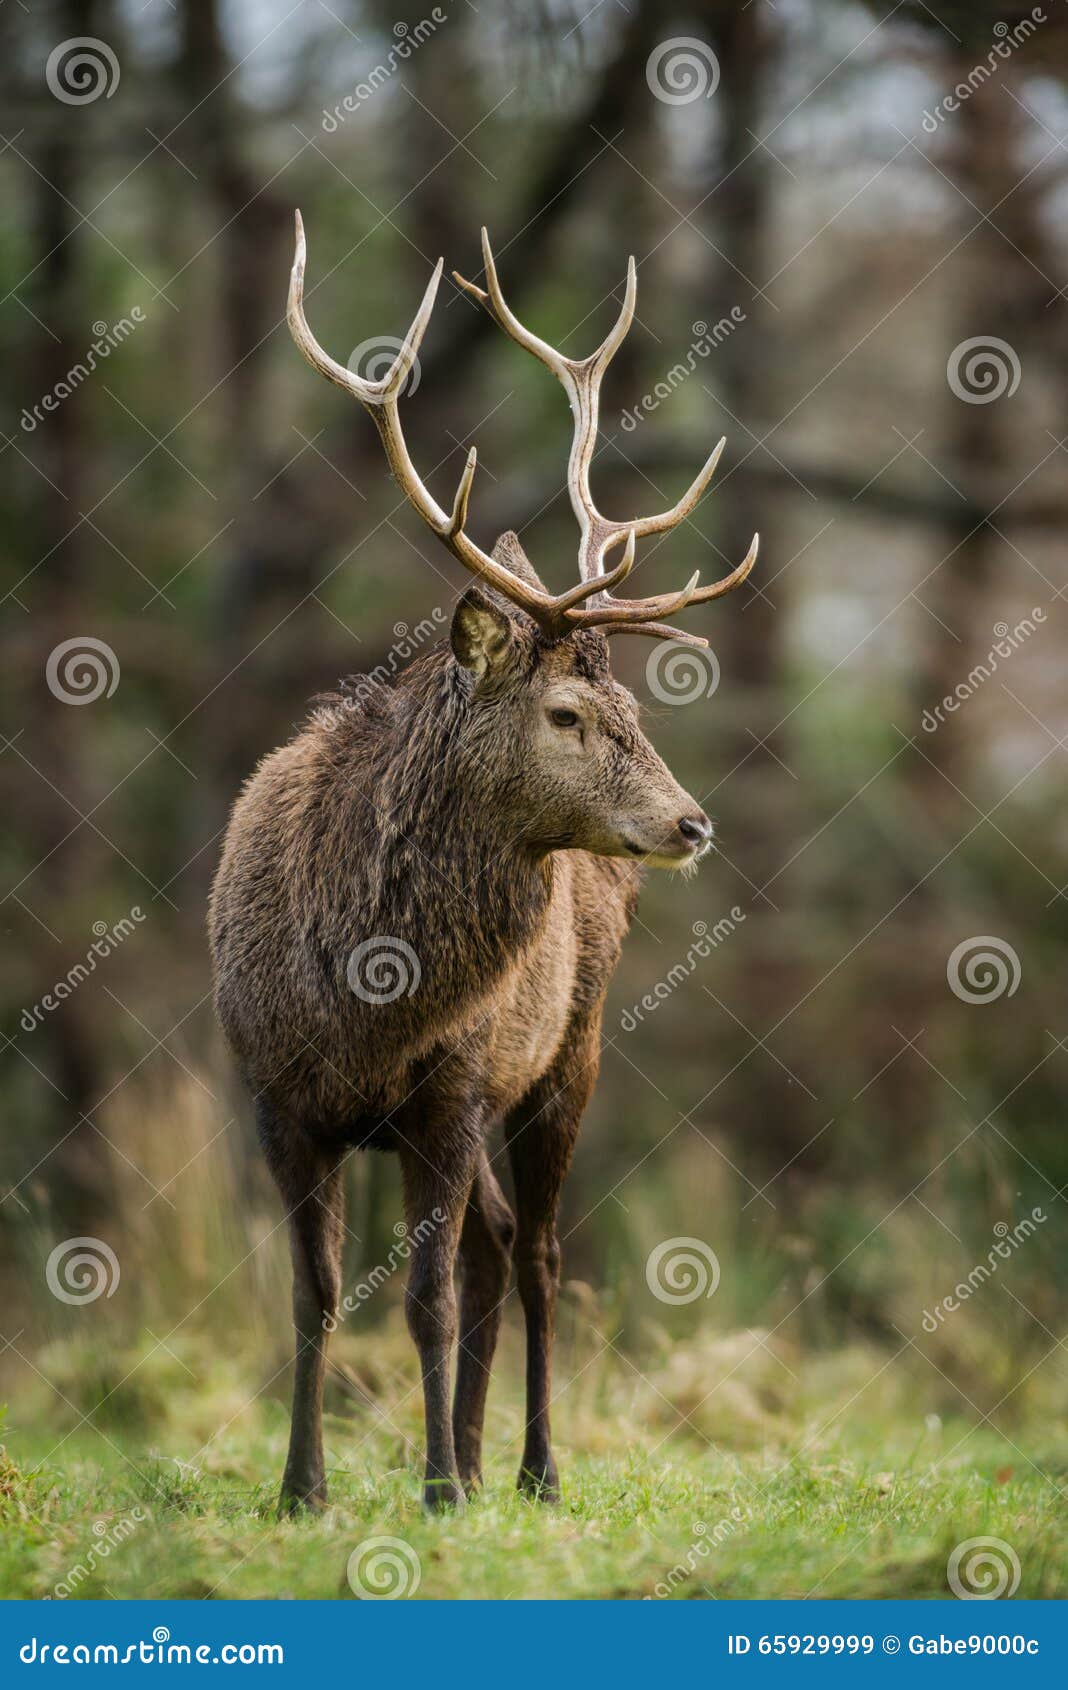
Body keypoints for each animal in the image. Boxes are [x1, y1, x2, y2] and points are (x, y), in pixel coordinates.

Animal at [208, 214, 758, 1515]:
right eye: (568, 712)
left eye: (634, 704)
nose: (692, 824)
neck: (362, 995)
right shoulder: (273, 1095)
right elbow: (312, 1298)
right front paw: (302, 1487)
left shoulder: (448, 1091)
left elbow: (423, 1295)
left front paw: (436, 1488)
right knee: (504, 1243)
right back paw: (470, 1449)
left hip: (572, 1047)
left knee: (540, 1250)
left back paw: (529, 1466)